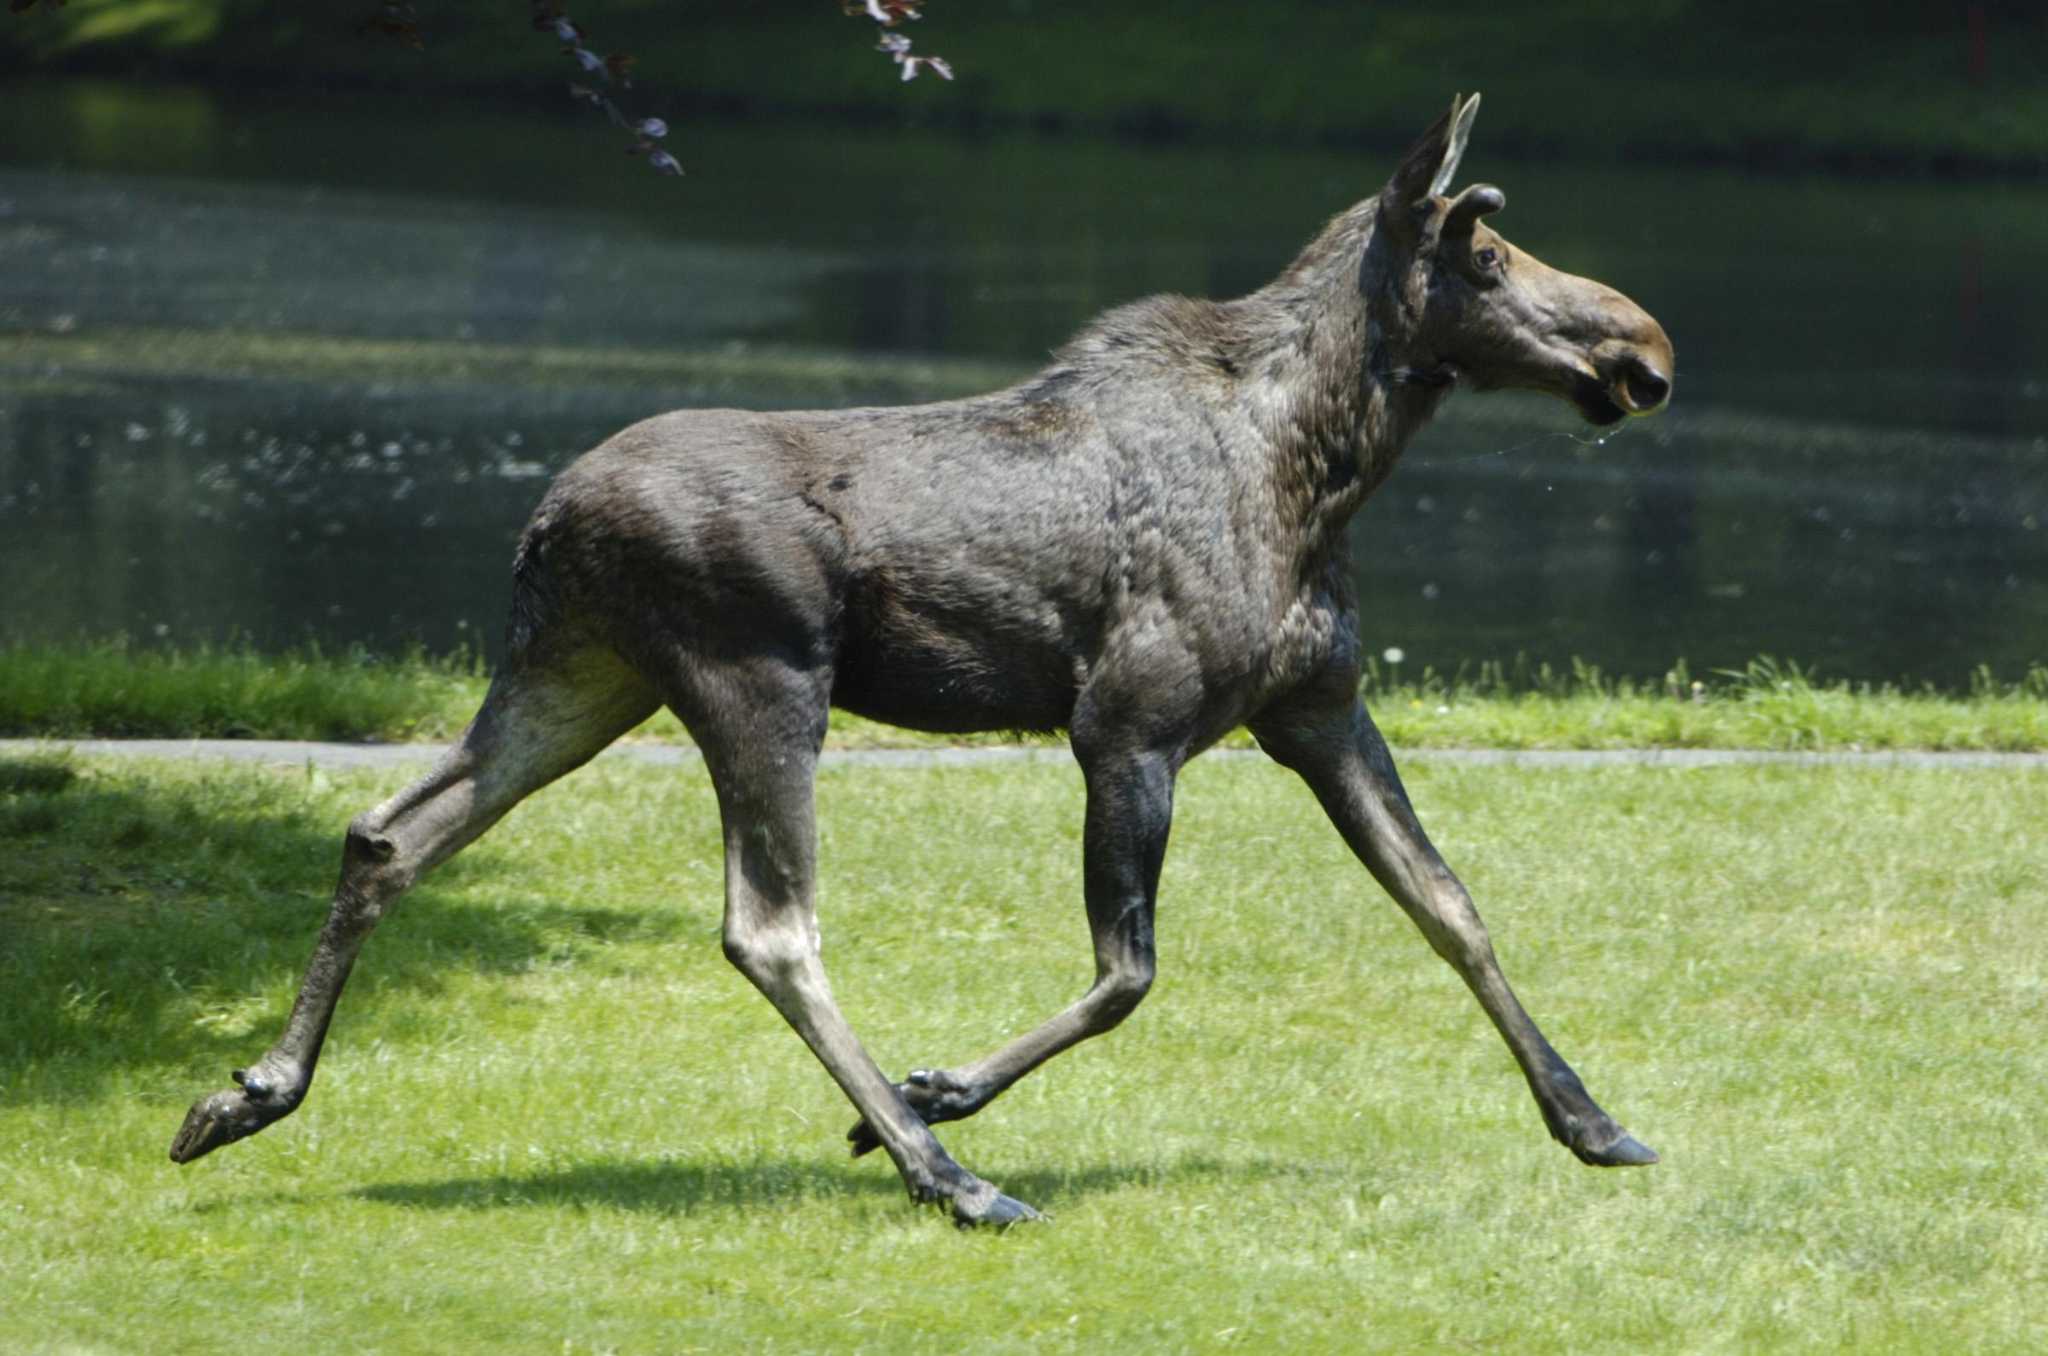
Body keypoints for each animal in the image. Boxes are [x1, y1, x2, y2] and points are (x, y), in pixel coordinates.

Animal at [172, 95, 1674, 1227]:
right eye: (1487, 252)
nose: (1644, 346)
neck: (1324, 472)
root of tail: (546, 519)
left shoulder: (1317, 709)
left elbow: (1449, 904)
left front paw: (1593, 1119)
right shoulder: (1126, 721)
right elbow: (1128, 969)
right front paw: (936, 1091)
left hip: (582, 674)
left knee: (390, 831)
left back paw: (247, 1092)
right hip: (754, 677)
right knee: (768, 926)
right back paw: (946, 1172)